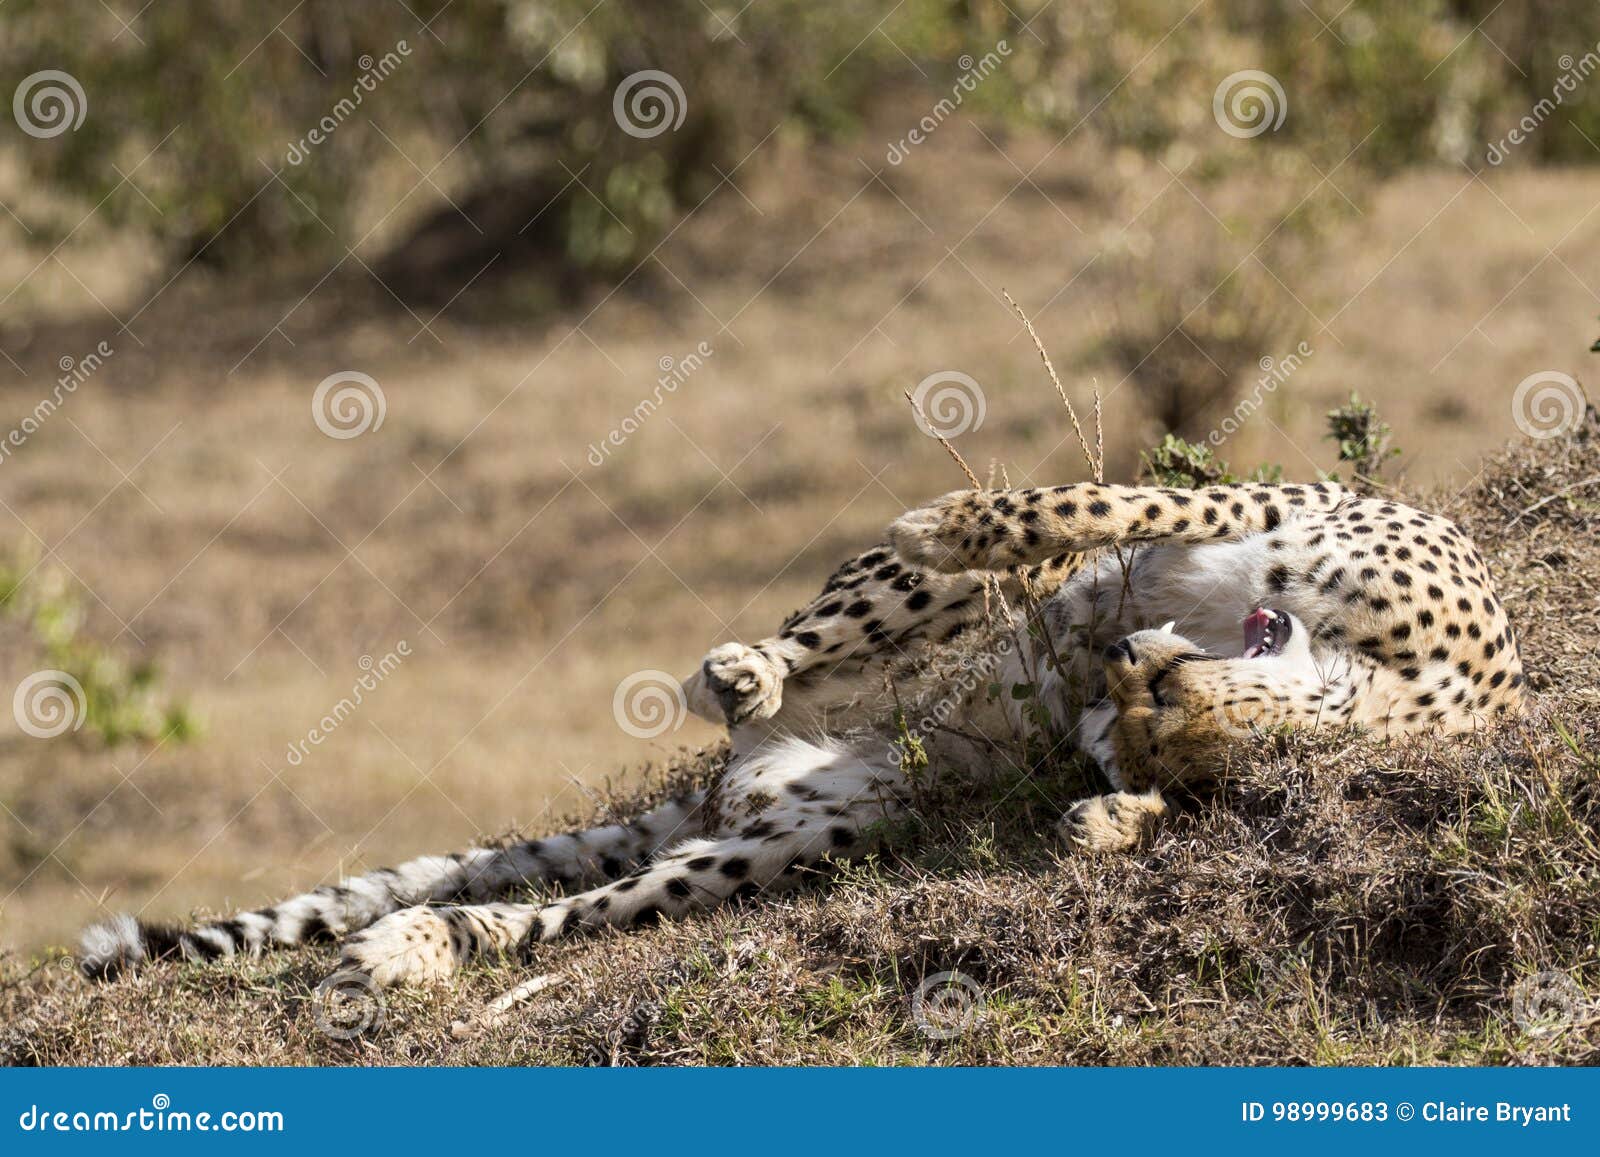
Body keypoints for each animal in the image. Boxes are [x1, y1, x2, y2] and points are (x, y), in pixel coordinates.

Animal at [79, 479, 1524, 988]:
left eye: (1145, 721)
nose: (1118, 666)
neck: (1384, 683)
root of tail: (736, 782)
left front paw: (1109, 821)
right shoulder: (1221, 505)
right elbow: (1079, 504)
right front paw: (974, 519)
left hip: (784, 842)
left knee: (564, 910)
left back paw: (419, 945)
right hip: (895, 619)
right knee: (832, 621)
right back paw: (748, 669)